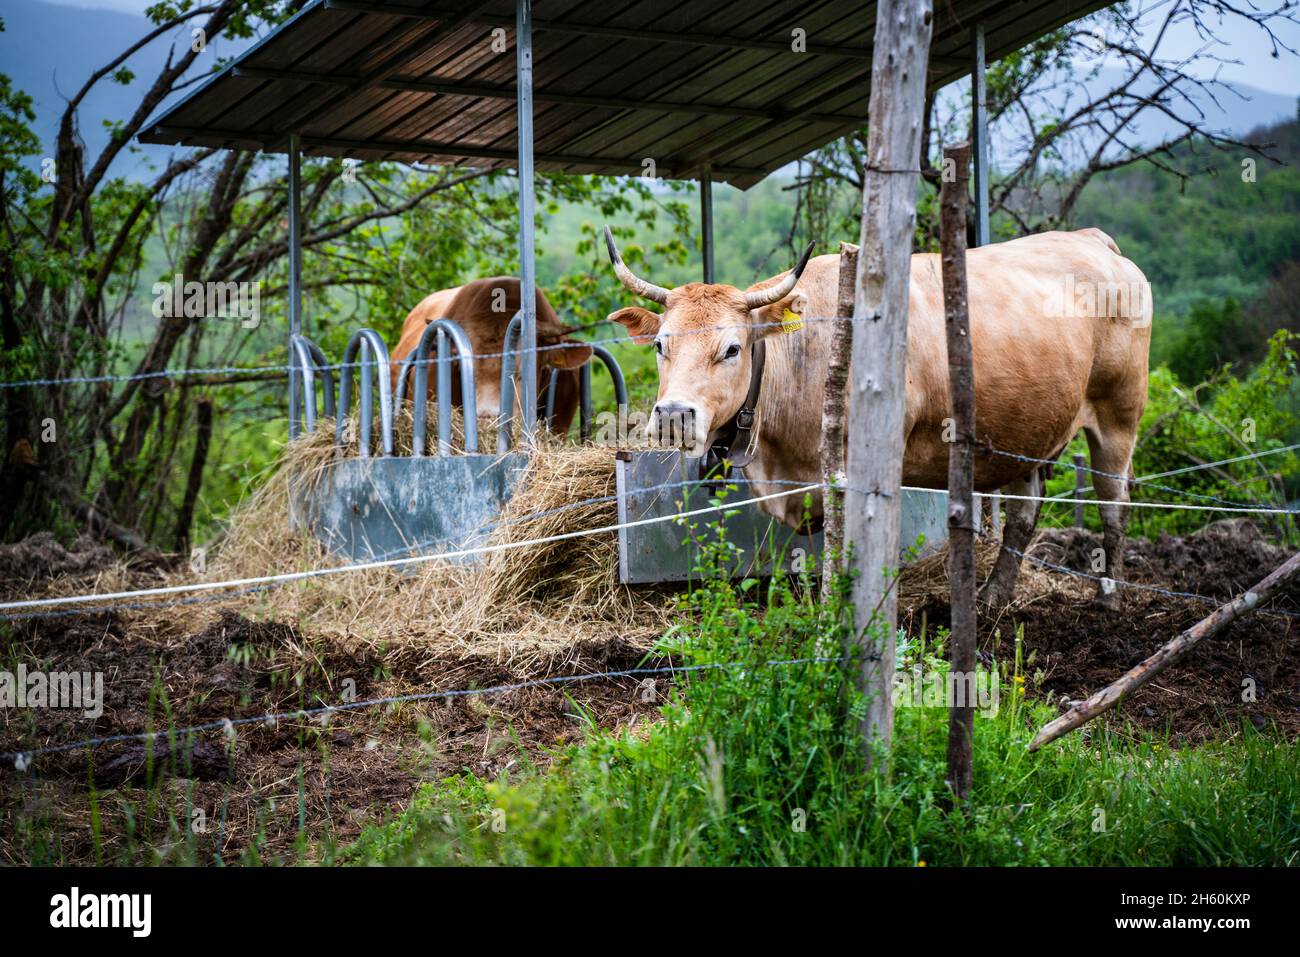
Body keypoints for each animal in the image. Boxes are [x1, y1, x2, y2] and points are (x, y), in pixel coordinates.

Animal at [603, 226, 1151, 608]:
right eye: (660, 345)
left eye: (732, 348)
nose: (674, 416)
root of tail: (1093, 240)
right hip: (1030, 433)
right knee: (1024, 513)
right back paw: (994, 595)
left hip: (1117, 417)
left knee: (1114, 504)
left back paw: (1109, 595)